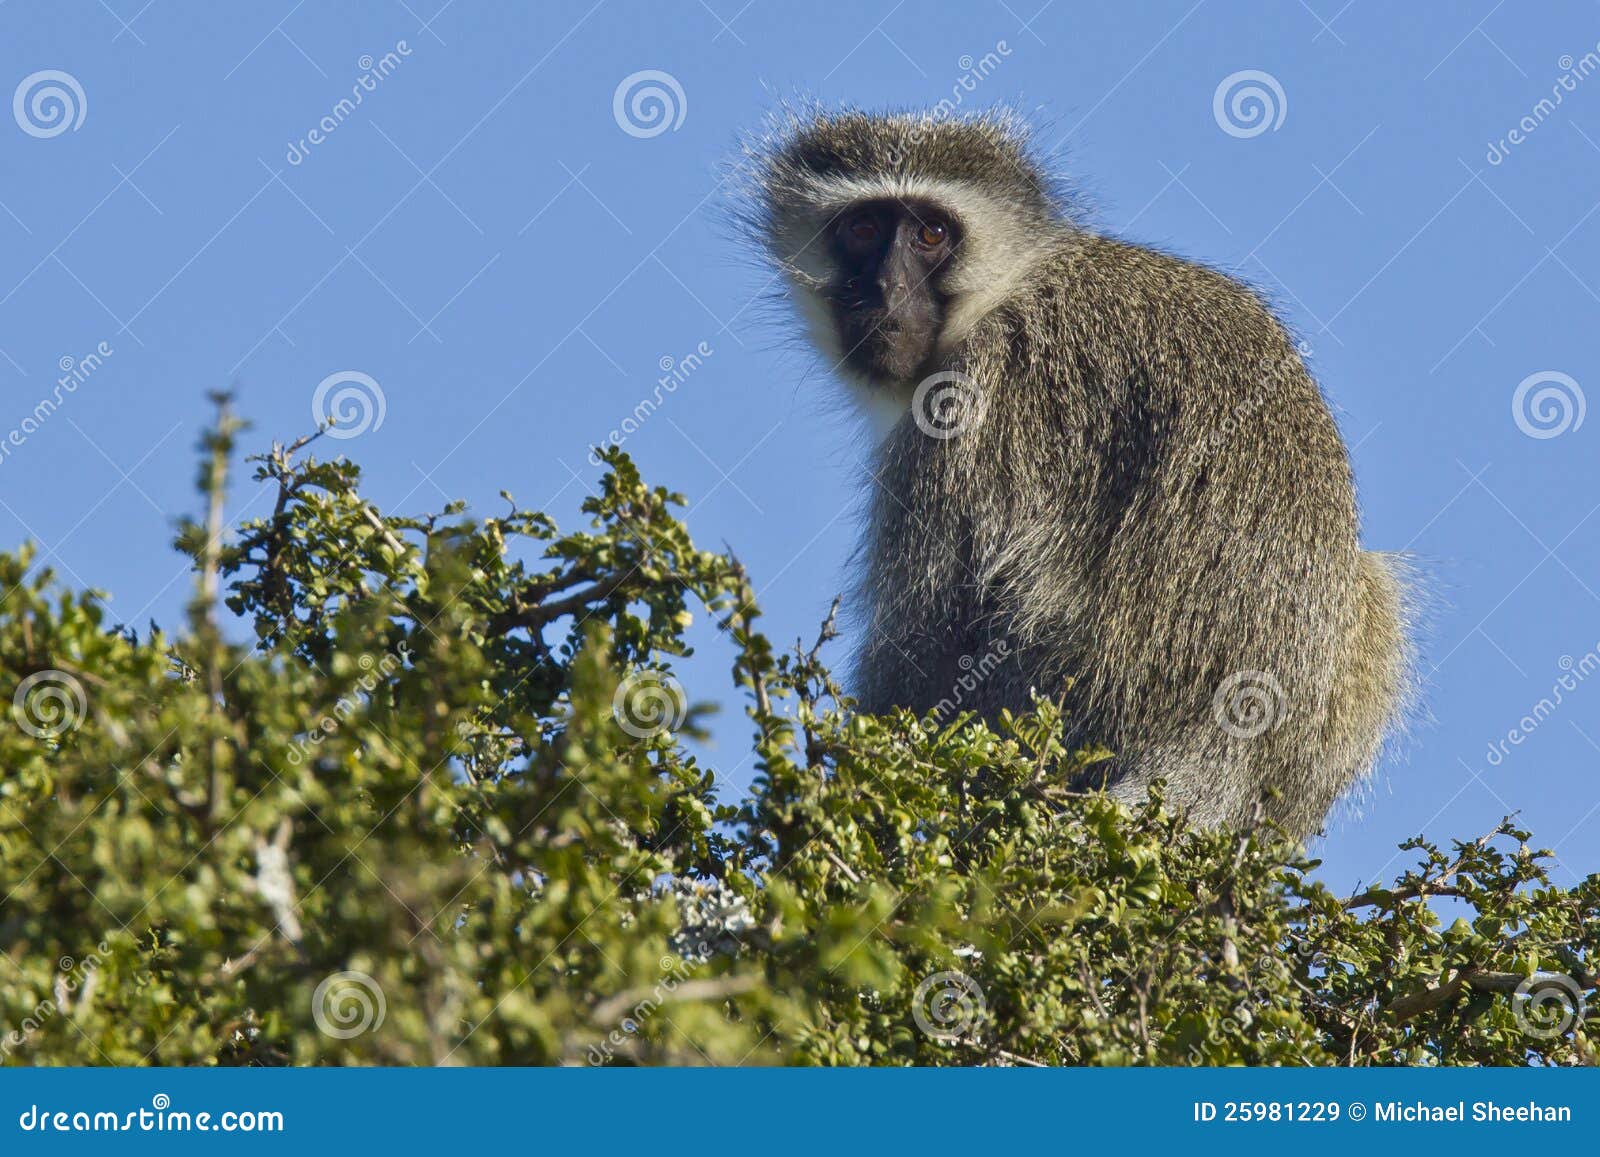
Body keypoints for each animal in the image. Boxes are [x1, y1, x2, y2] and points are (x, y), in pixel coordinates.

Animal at [745, 107, 1411, 840]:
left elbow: (926, 645)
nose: (887, 292)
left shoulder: (962, 407)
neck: (1004, 289)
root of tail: (1221, 743)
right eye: (863, 228)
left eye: (931, 233)